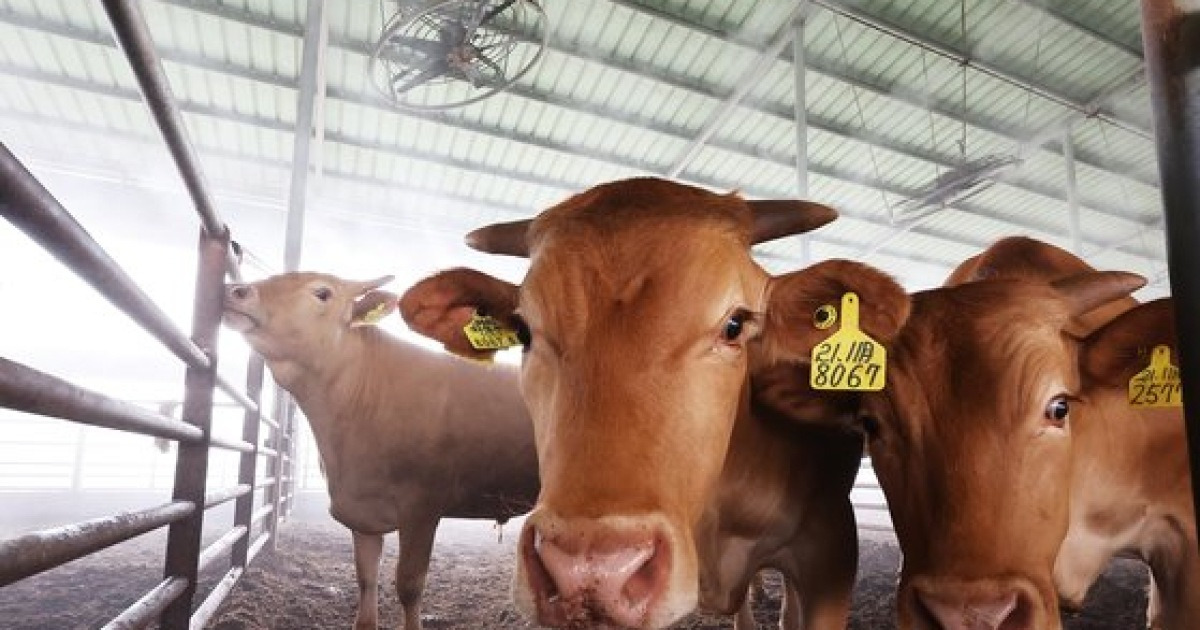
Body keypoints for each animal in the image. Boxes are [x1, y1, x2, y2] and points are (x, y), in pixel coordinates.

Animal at [222, 272, 540, 630]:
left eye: (322, 292)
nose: (236, 290)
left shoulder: (423, 507)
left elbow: (409, 585)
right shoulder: (362, 514)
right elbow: (366, 580)